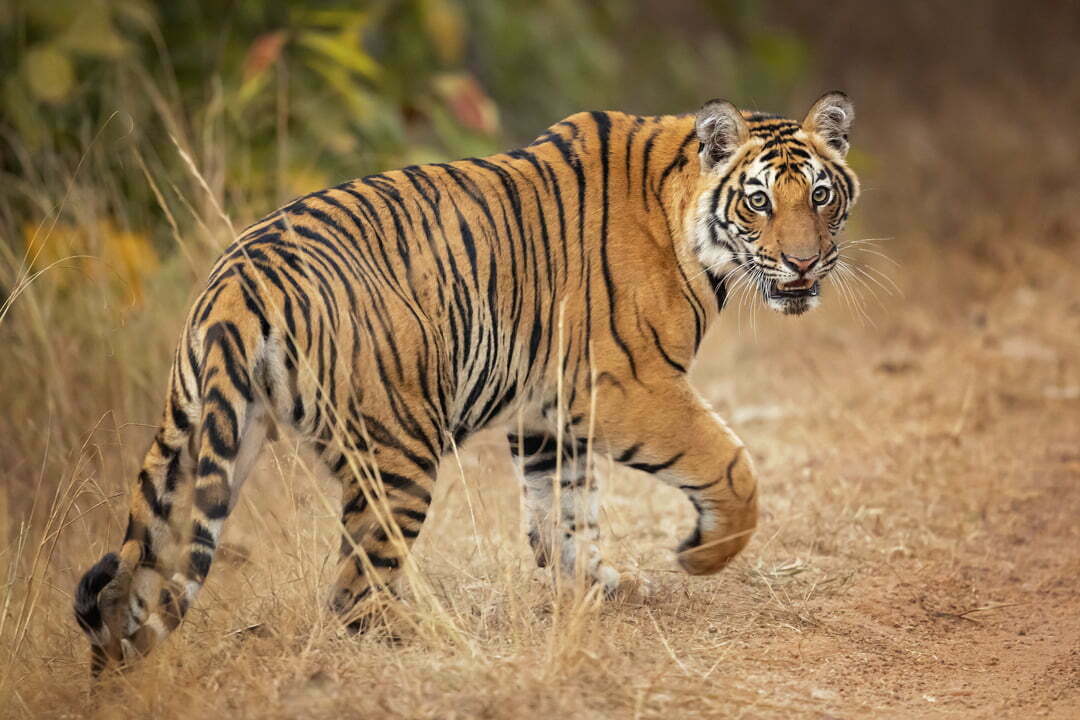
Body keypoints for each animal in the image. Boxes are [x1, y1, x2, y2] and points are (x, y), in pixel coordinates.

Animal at [74, 91, 859, 674]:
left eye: (821, 196)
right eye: (759, 202)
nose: (803, 265)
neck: (686, 217)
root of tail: (237, 282)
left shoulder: (549, 412)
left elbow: (566, 510)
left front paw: (599, 587)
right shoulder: (628, 386)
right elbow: (728, 463)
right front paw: (702, 553)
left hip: (195, 444)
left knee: (132, 586)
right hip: (399, 450)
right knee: (353, 591)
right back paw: (430, 638)